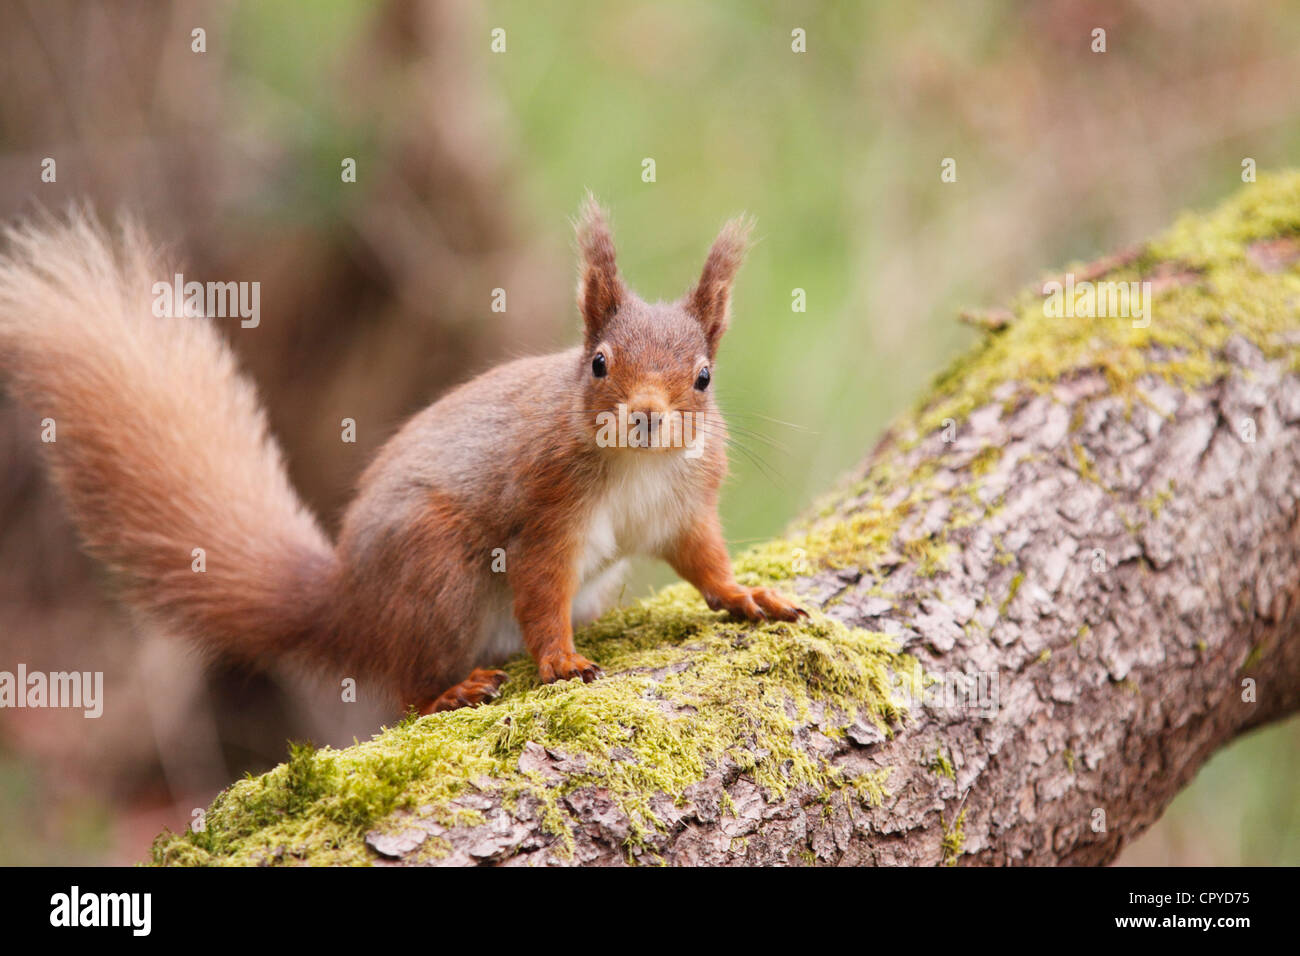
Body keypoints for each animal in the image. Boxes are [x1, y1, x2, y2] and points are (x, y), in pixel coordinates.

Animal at [0, 197, 804, 717]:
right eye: (600, 363)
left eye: (703, 378)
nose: (645, 417)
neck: (637, 467)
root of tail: (348, 603)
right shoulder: (546, 510)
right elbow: (541, 589)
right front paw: (560, 660)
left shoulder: (687, 504)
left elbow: (704, 559)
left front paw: (747, 595)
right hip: (433, 568)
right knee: (404, 687)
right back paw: (448, 689)